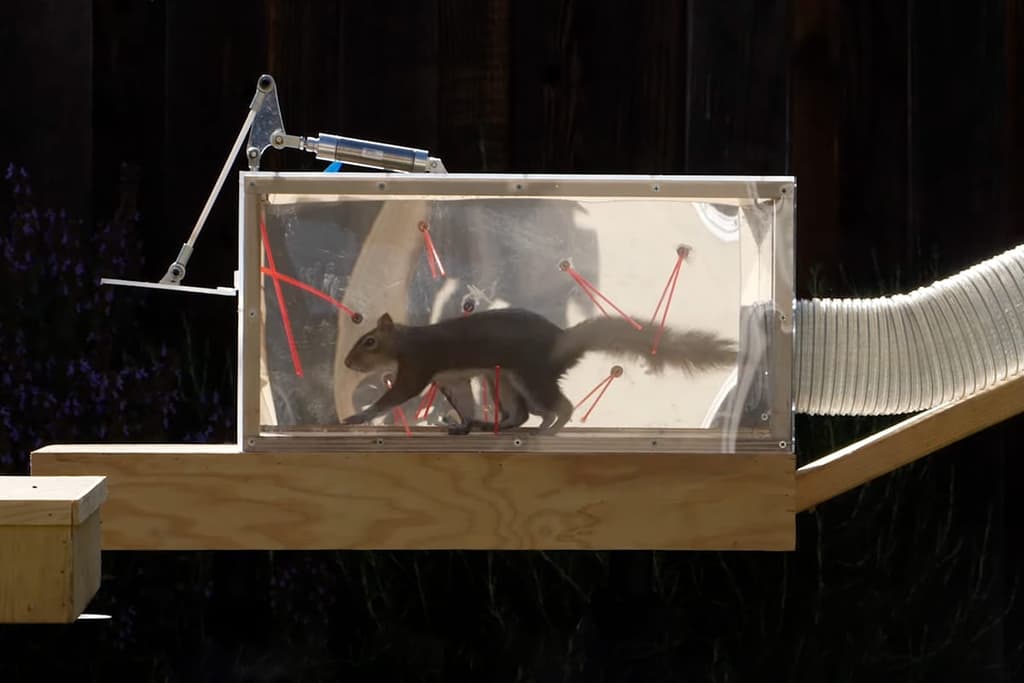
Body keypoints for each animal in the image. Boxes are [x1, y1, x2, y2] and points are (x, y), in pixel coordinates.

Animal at [340, 308, 737, 435]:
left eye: (370, 342)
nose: (347, 363)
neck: (405, 342)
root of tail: (560, 343)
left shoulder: (418, 366)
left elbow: (396, 396)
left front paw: (358, 416)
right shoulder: (453, 379)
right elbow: (463, 402)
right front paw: (463, 423)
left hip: (528, 375)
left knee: (559, 406)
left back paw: (550, 428)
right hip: (502, 380)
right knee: (520, 415)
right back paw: (489, 424)